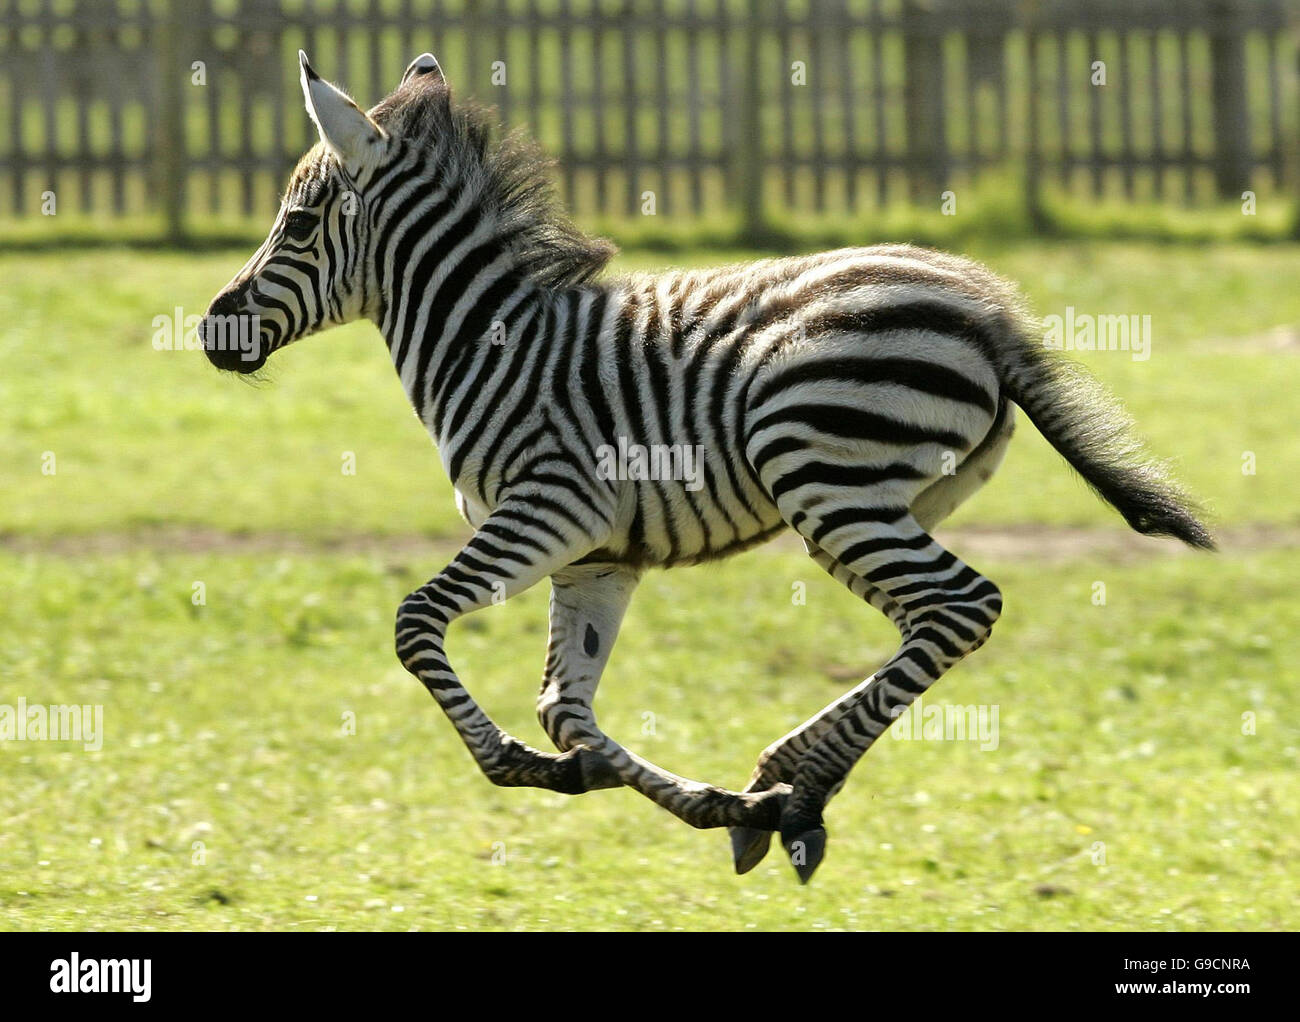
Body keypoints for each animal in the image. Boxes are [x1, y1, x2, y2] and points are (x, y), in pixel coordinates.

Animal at [200, 51, 1214, 883]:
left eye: (298, 223)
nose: (213, 331)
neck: (490, 341)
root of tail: (988, 308)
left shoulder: (548, 508)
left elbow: (418, 625)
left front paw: (524, 768)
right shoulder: (596, 556)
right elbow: (567, 707)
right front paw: (690, 800)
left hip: (826, 480)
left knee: (962, 605)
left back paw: (797, 788)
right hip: (874, 504)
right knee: (928, 623)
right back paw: (790, 789)